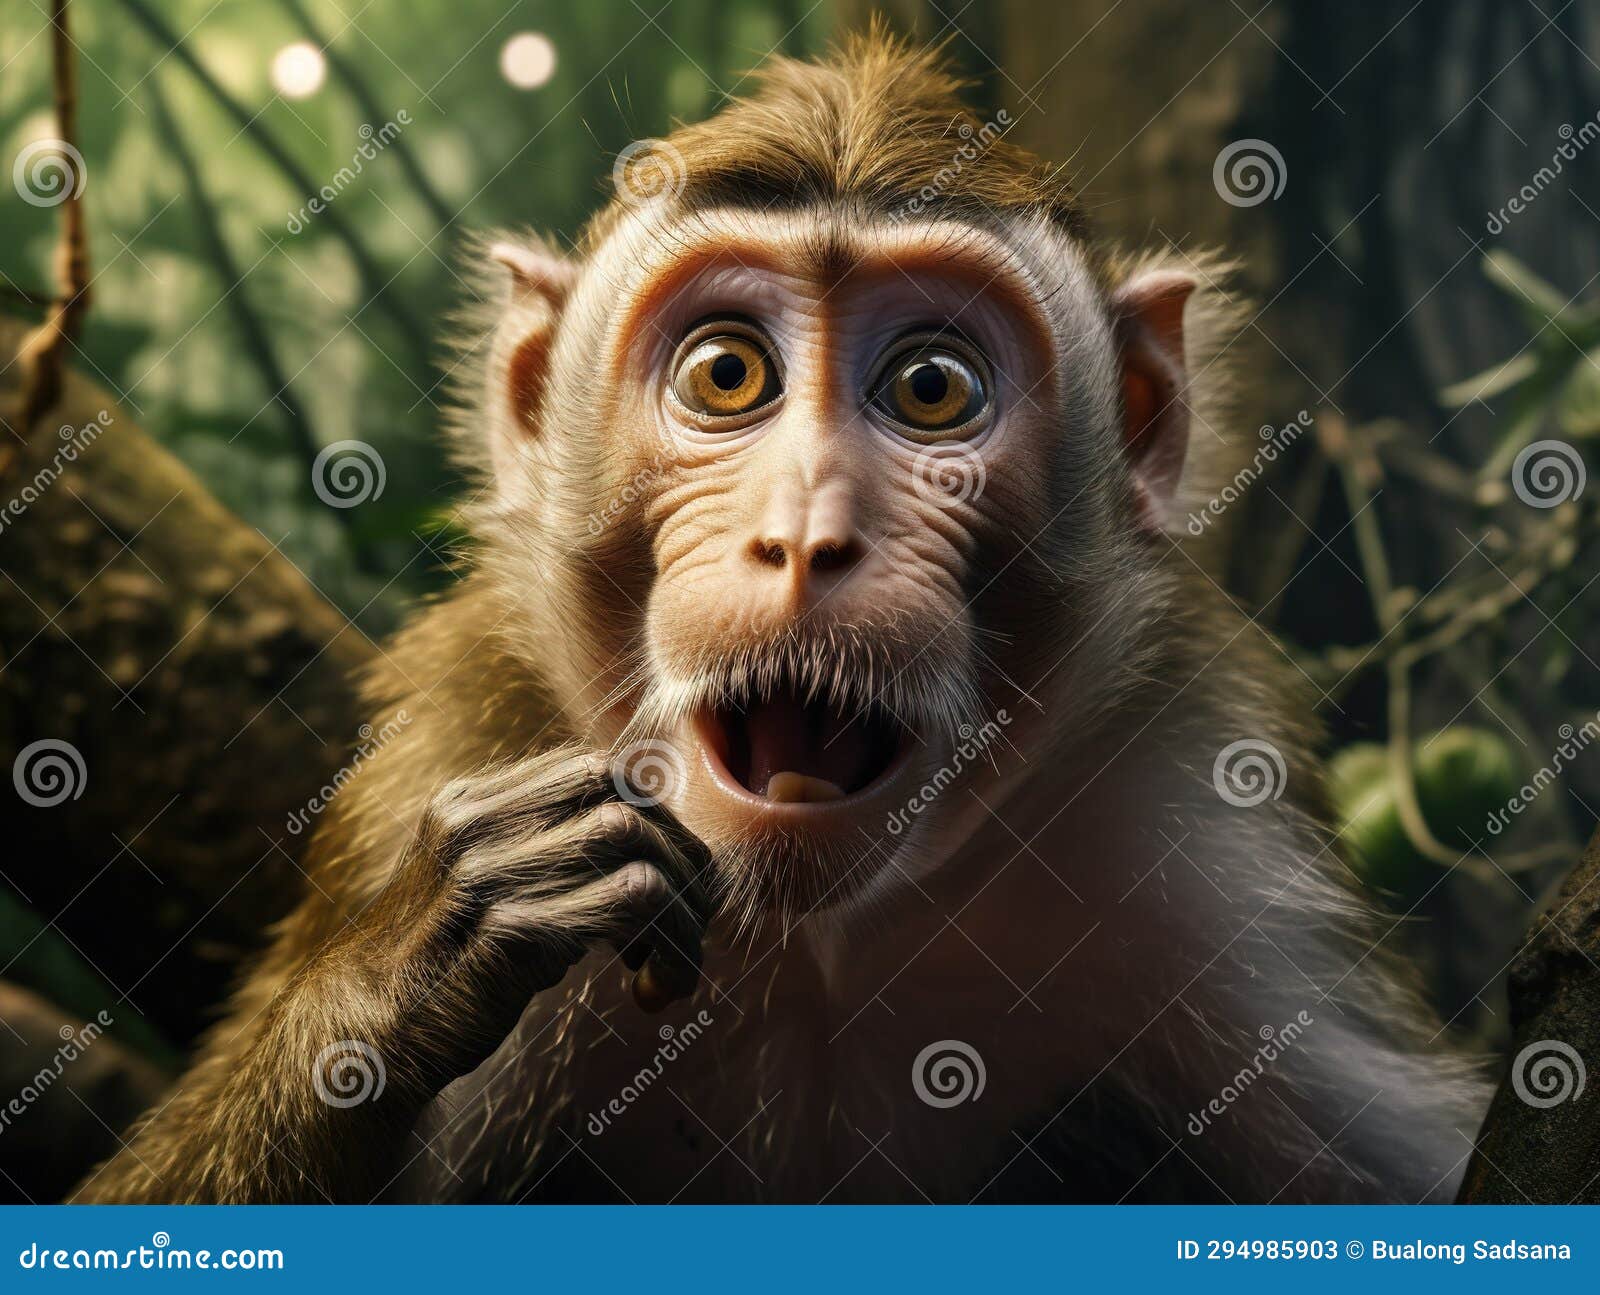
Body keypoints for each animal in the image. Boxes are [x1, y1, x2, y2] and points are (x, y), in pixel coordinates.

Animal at [76, 30, 1489, 1205]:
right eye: (725, 373)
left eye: (930, 387)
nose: (806, 537)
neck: (817, 938)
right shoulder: (456, 738)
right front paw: (412, 967)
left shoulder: (1209, 846)